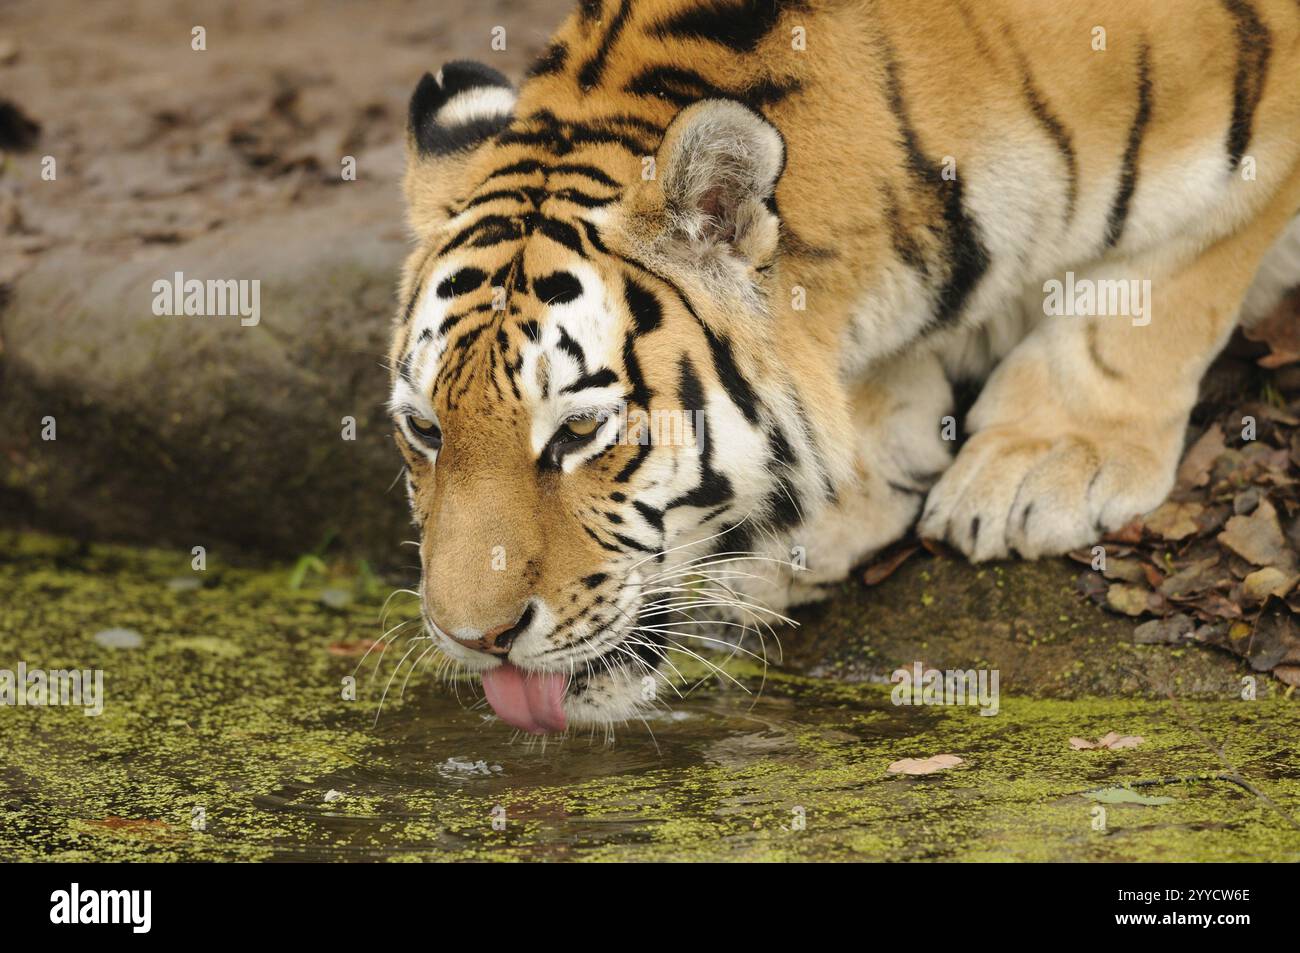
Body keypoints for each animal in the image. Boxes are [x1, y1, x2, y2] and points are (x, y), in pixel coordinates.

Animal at [388, 0, 1300, 734]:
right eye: (424, 428)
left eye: (579, 430)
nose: (473, 639)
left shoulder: (1255, 125)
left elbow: (1154, 284)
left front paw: (1046, 464)